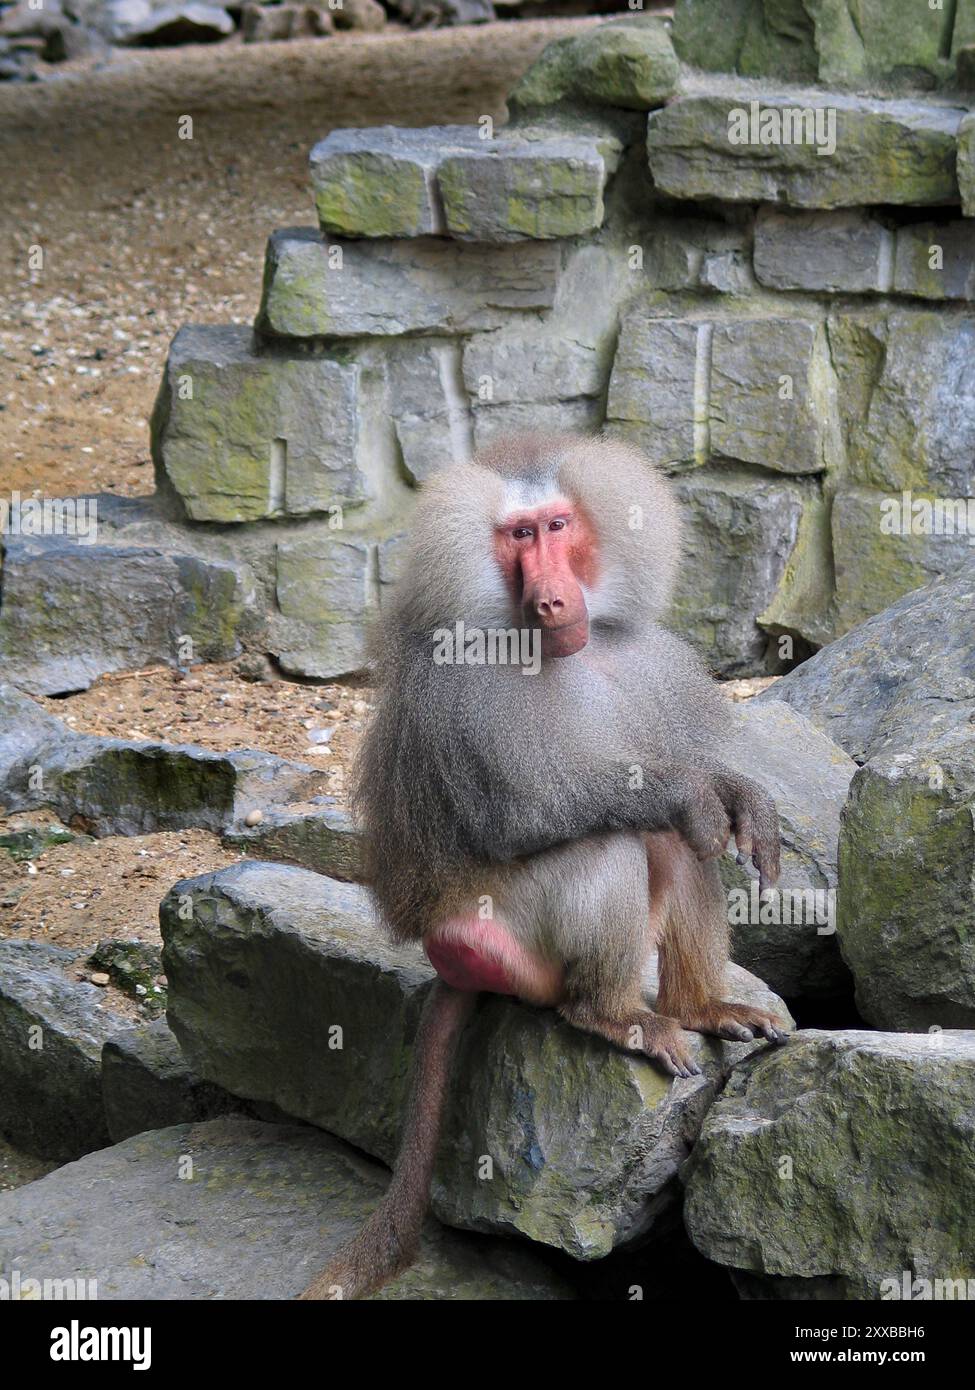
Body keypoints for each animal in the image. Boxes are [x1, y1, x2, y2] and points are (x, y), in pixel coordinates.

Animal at [299, 432, 785, 1301]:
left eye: (558, 526)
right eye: (516, 537)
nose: (554, 601)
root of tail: (454, 960)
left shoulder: (652, 666)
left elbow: (706, 802)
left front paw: (740, 799)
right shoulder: (468, 694)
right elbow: (525, 817)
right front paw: (691, 792)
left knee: (679, 847)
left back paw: (700, 1008)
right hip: (504, 935)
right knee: (613, 842)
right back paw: (615, 1014)